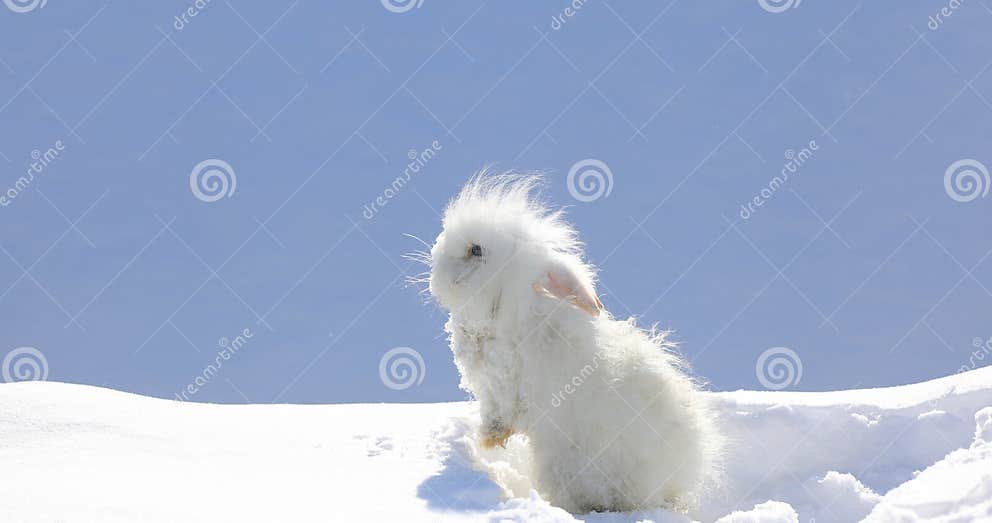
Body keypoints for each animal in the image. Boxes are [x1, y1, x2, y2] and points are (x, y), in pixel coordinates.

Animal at [424, 172, 721, 514]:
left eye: (475, 250)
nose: (435, 263)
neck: (505, 307)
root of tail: (667, 488)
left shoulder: (502, 389)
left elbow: (501, 415)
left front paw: (488, 439)